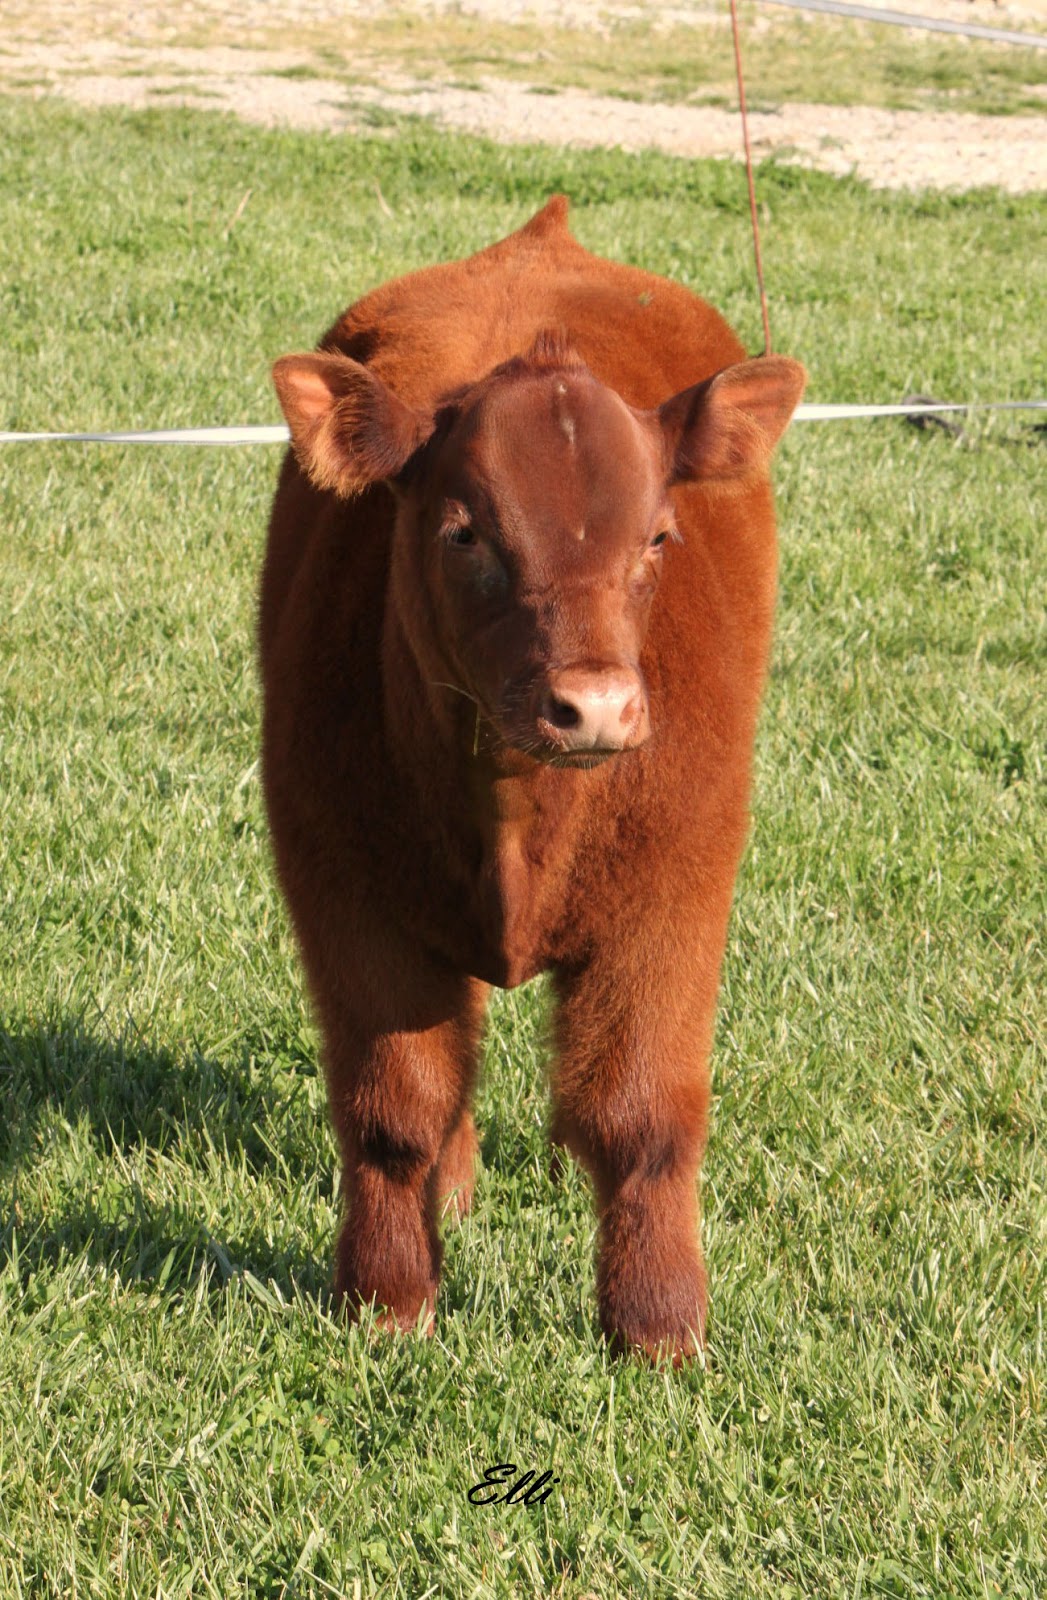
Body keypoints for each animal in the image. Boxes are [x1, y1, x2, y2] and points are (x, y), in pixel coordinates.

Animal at [260, 196, 805, 1363]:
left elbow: (640, 1115)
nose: (593, 705)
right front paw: (390, 1302)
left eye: (658, 535)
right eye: (463, 531)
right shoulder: (345, 892)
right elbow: (395, 1107)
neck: (518, 815)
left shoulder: (672, 897)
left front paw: (658, 1329)